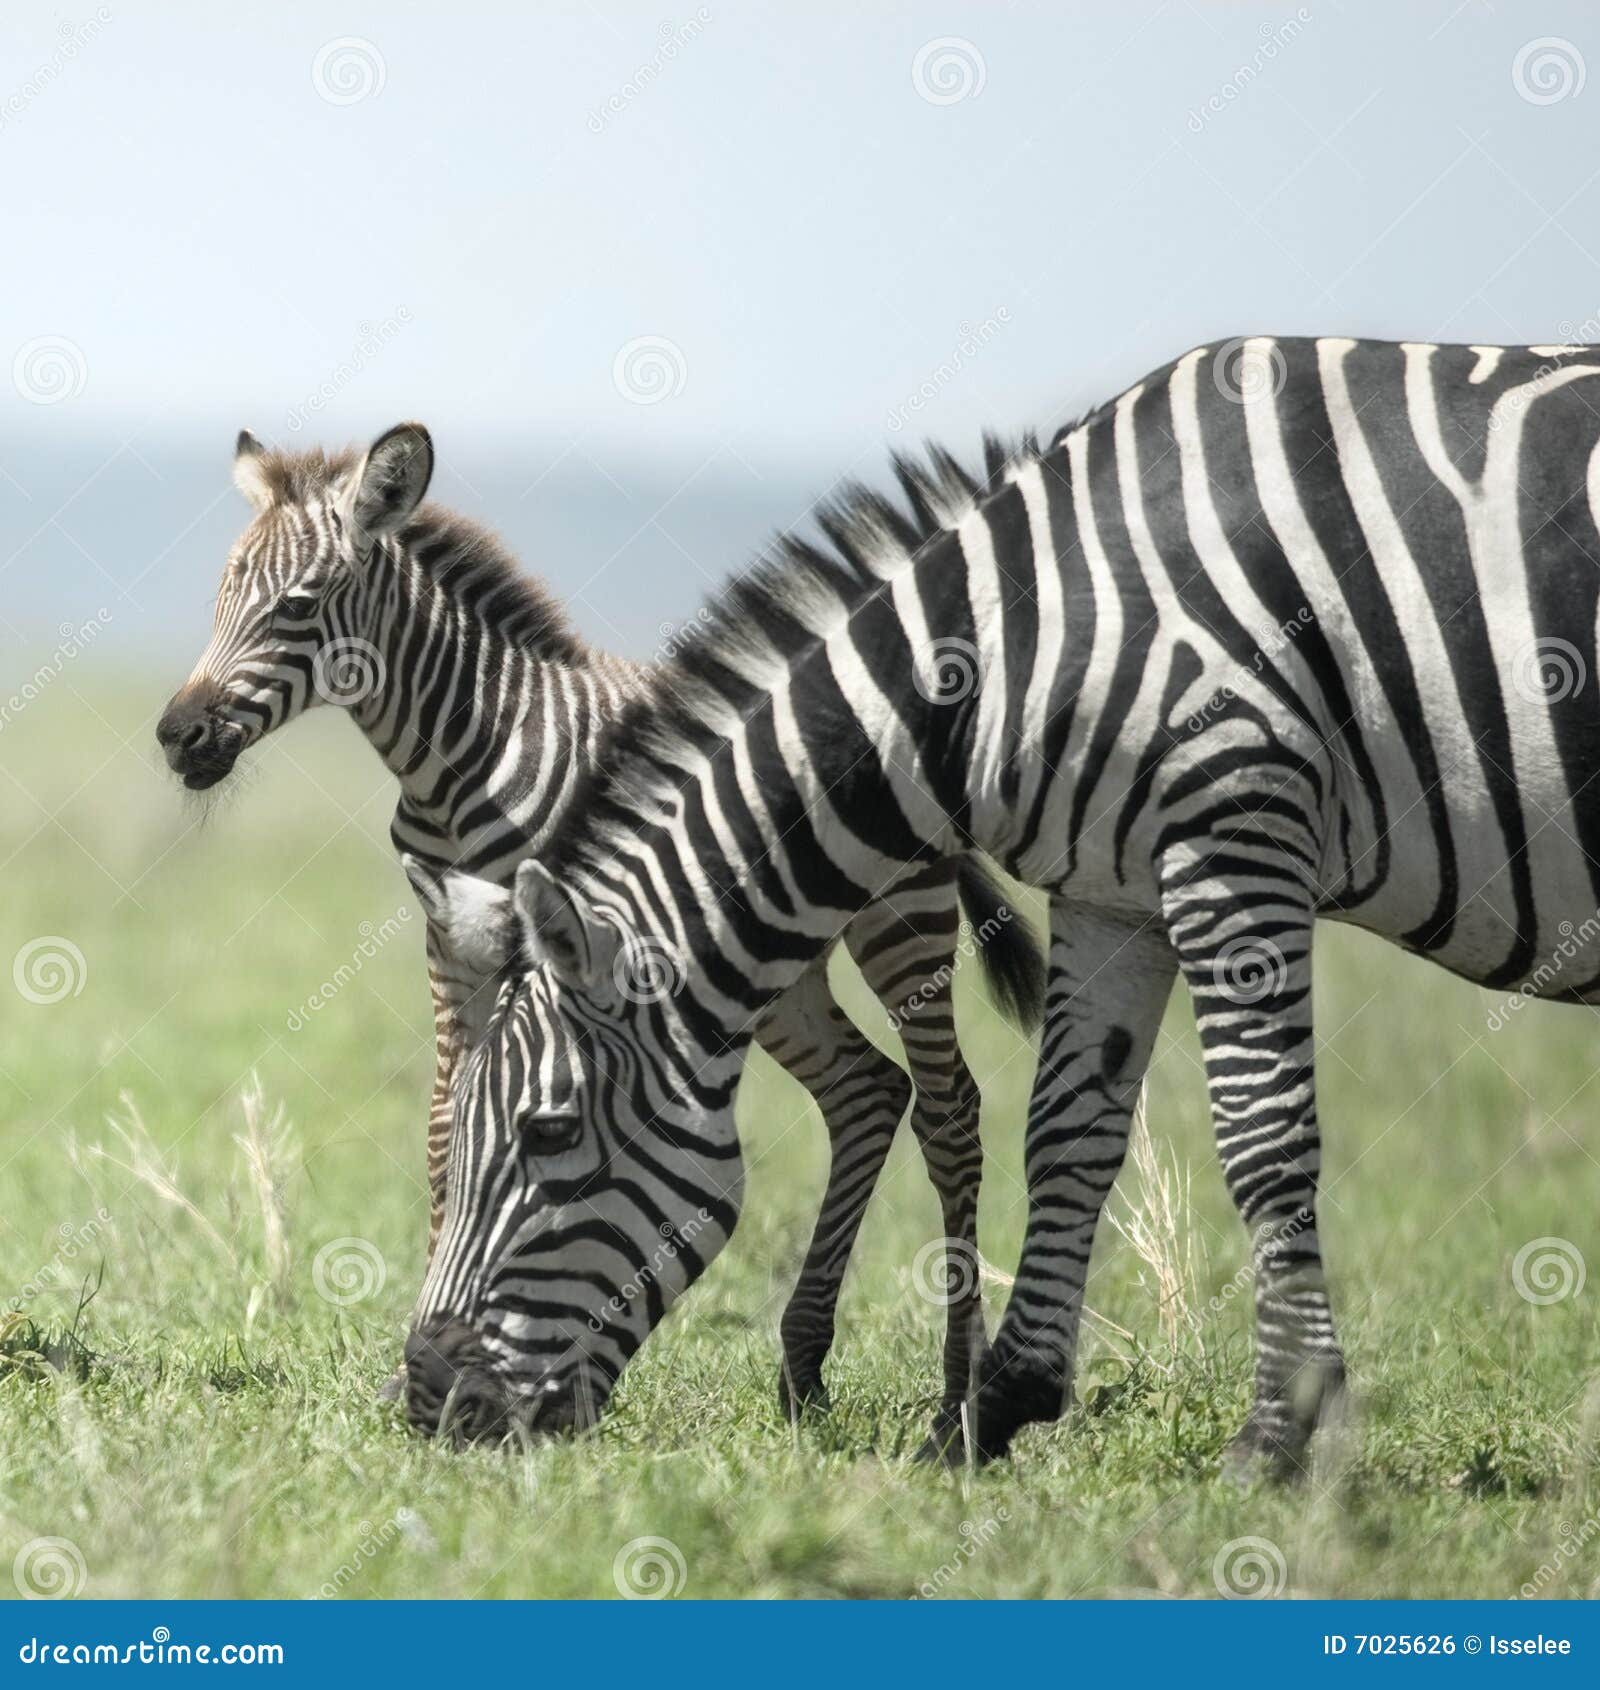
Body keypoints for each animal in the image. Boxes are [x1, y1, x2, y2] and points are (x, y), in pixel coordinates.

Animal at [154, 423, 1044, 1438]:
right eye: (221, 597)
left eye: (298, 605)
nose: (179, 736)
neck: (463, 757)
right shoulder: (453, 941)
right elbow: (448, 1120)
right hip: (773, 959)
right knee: (866, 1090)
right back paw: (802, 1367)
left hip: (897, 920)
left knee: (948, 1107)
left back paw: (955, 1386)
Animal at [407, 336, 1600, 1472]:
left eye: (549, 1132)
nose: (425, 1403)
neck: (1012, 649)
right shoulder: (1113, 893)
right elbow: (1066, 1131)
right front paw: (998, 1407)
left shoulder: (1238, 828)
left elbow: (1263, 1144)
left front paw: (1281, 1435)